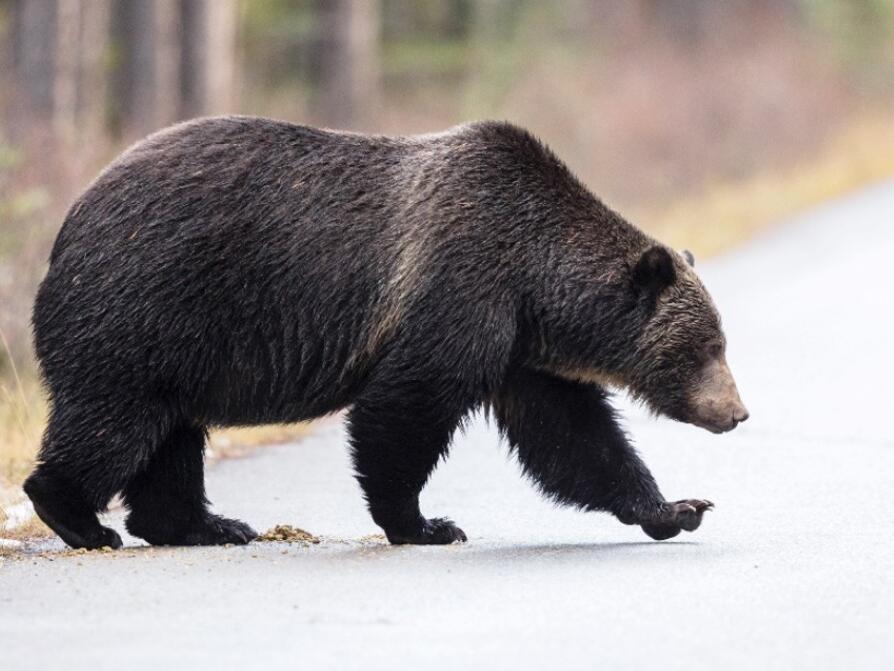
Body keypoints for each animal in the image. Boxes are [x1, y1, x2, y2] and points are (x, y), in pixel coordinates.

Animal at [24, 116, 748, 550]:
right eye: (705, 347)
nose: (737, 412)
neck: (534, 282)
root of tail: (67, 223)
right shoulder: (458, 289)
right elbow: (404, 408)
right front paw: (427, 522)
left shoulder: (520, 349)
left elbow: (574, 437)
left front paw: (677, 507)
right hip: (146, 305)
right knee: (115, 420)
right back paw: (80, 518)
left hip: (176, 344)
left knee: (170, 435)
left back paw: (206, 523)